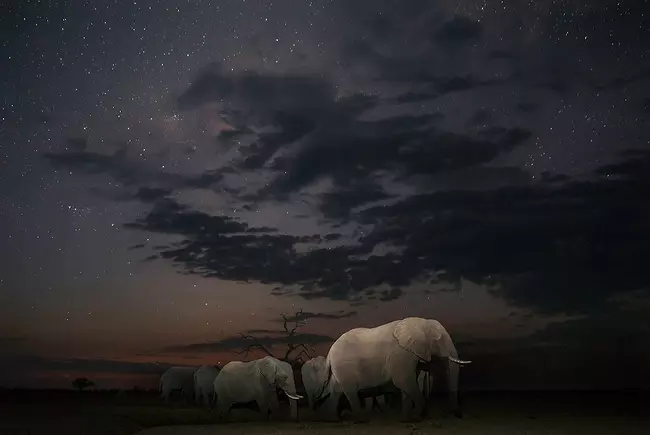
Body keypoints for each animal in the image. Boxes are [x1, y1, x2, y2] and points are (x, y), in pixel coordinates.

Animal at [316, 316, 468, 422]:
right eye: (440, 339)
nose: (459, 415)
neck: (421, 322)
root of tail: (329, 353)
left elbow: (407, 385)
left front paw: (407, 420)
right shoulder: (400, 354)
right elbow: (403, 382)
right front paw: (419, 417)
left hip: (339, 370)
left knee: (335, 390)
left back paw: (333, 420)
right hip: (345, 367)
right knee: (350, 392)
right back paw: (361, 421)